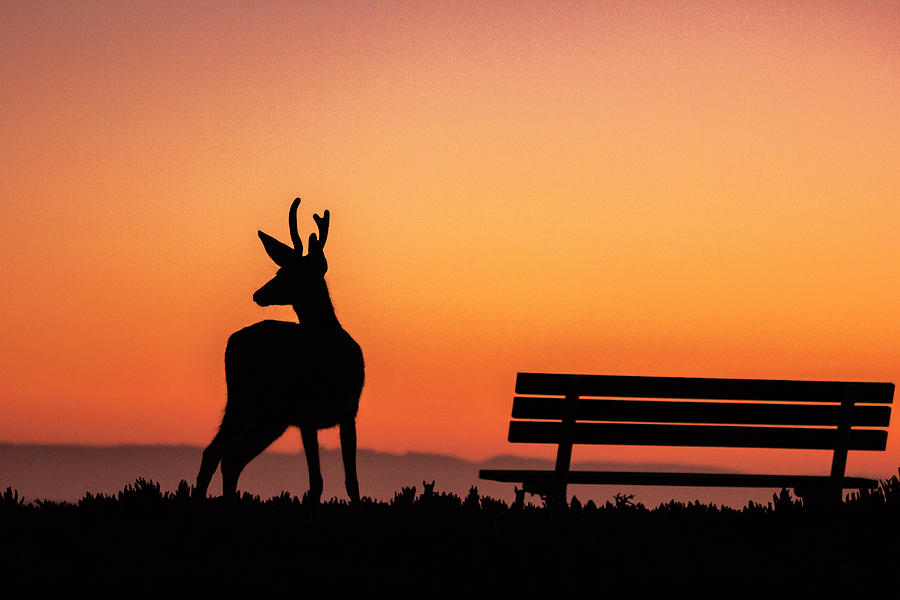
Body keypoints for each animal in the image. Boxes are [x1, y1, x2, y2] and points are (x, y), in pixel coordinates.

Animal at [195, 197, 365, 503]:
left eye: (289, 273)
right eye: (280, 270)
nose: (258, 294)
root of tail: (231, 341)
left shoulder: (348, 413)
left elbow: (351, 482)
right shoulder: (307, 415)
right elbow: (316, 482)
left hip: (269, 416)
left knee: (231, 458)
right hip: (244, 400)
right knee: (216, 453)